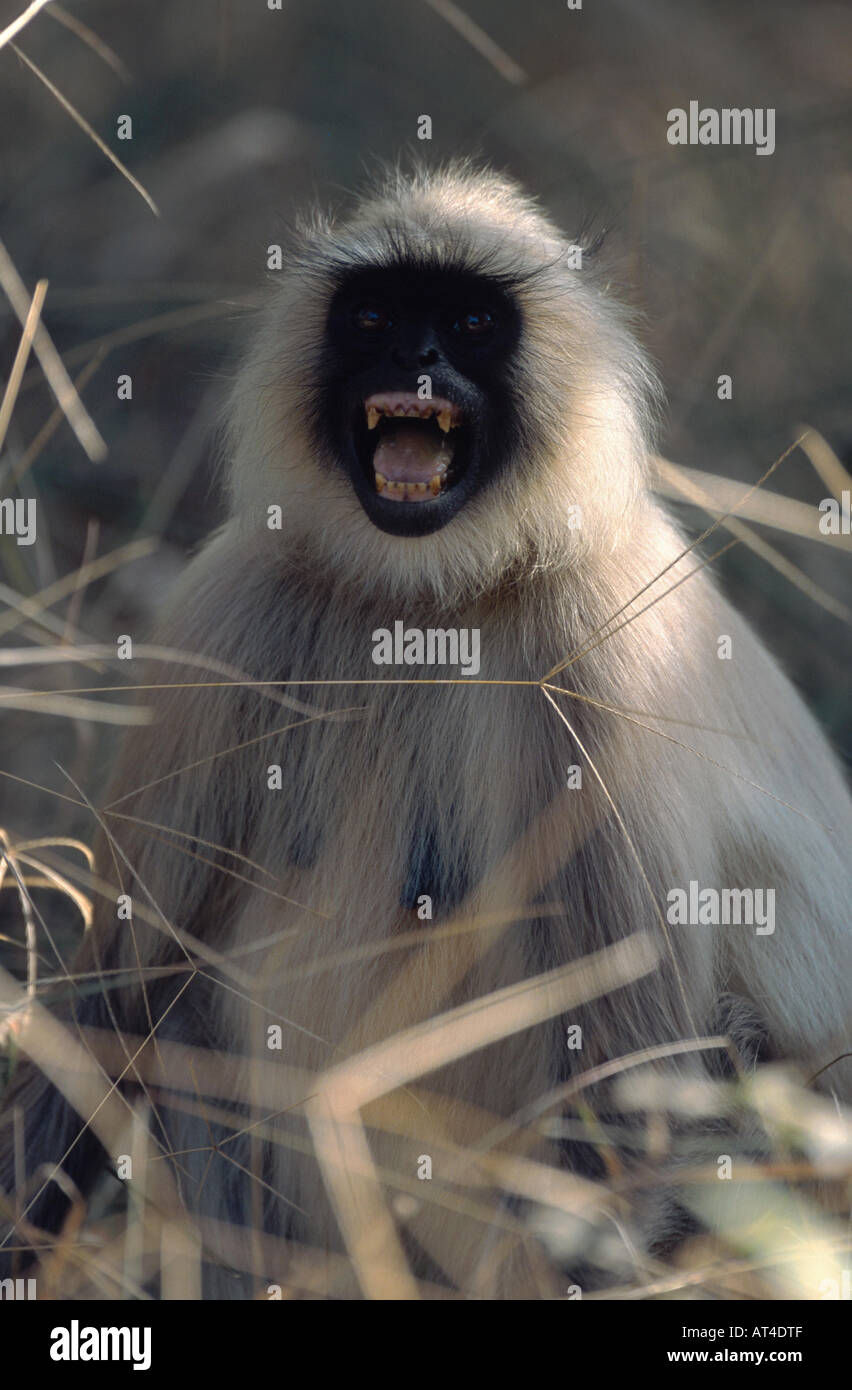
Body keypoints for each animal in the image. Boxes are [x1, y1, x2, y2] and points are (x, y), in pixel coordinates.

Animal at [1, 164, 850, 1299]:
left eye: (472, 322)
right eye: (375, 315)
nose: (418, 359)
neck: (428, 599)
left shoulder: (601, 649)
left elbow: (632, 1104)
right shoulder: (231, 610)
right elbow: (108, 1007)